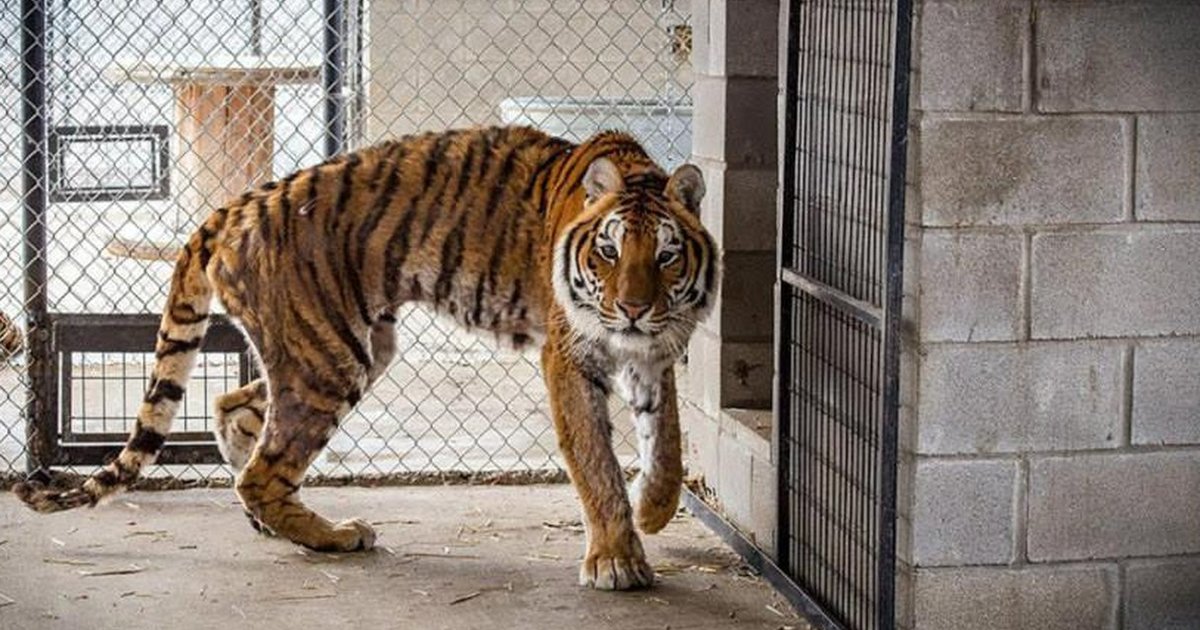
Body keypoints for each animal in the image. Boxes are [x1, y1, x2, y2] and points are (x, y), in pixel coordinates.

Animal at [13, 125, 719, 591]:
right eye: (608, 250)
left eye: (666, 254)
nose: (632, 307)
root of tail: (232, 205)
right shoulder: (568, 357)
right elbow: (595, 459)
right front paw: (618, 559)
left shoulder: (656, 350)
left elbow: (668, 440)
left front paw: (654, 508)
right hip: (331, 357)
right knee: (261, 467)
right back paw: (334, 535)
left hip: (340, 349)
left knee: (234, 406)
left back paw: (275, 523)